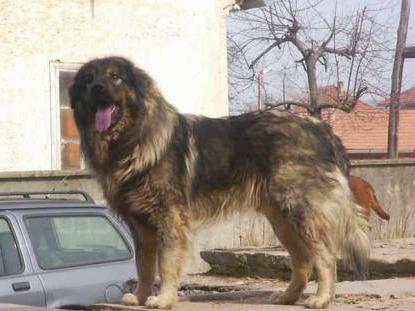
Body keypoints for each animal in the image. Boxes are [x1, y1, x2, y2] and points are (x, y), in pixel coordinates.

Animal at [70, 58, 370, 310]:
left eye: (115, 77)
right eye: (89, 80)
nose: (97, 88)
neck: (130, 139)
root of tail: (319, 127)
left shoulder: (169, 219)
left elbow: (165, 264)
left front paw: (163, 299)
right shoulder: (140, 224)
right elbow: (143, 267)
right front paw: (141, 296)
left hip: (301, 211)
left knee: (325, 256)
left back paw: (321, 298)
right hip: (282, 220)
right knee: (302, 261)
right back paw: (287, 297)